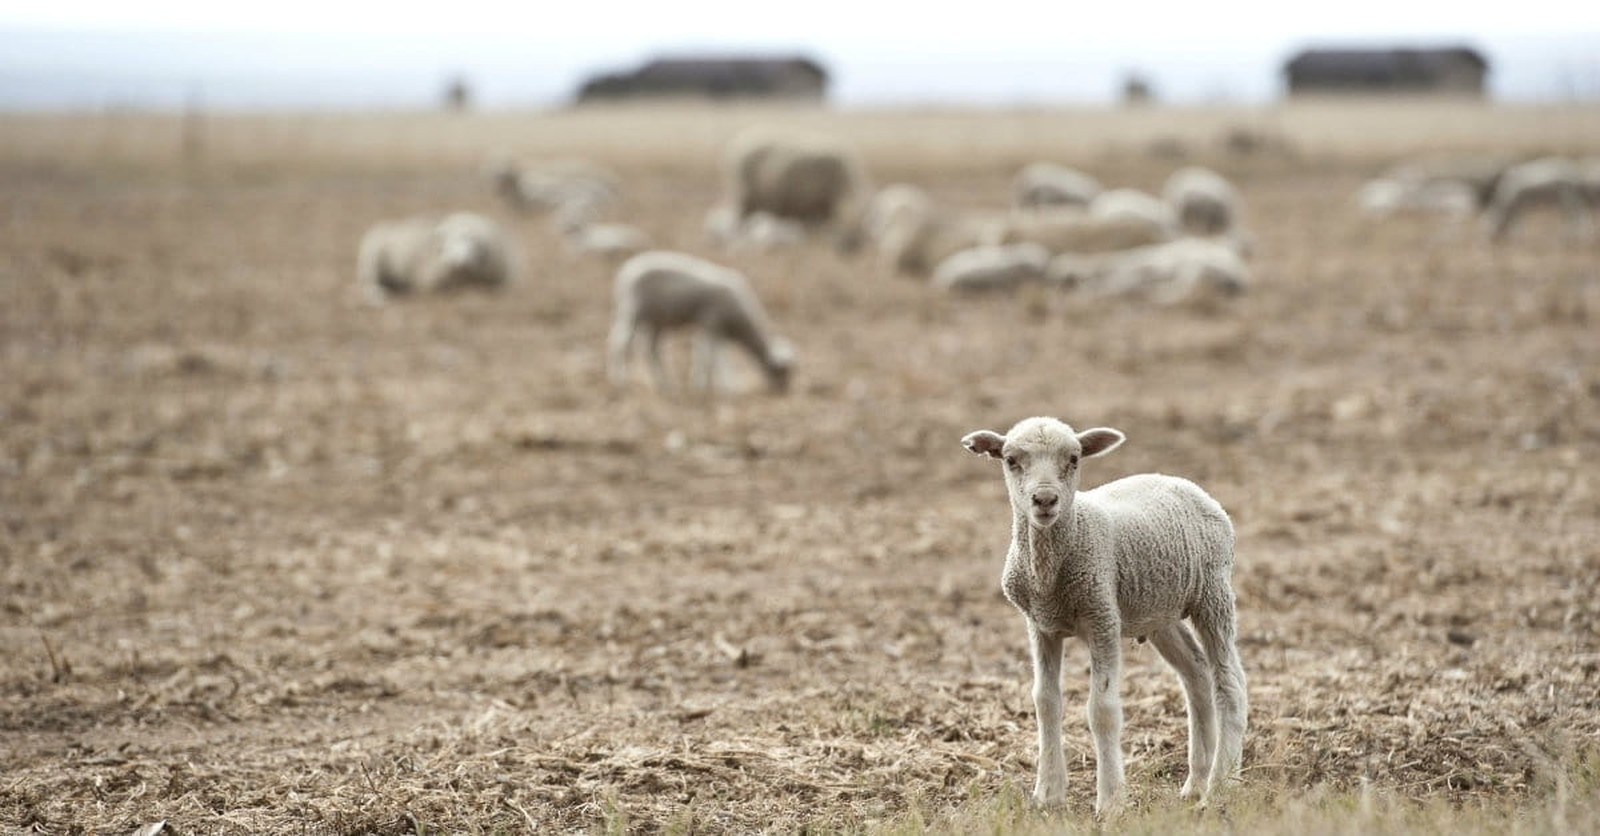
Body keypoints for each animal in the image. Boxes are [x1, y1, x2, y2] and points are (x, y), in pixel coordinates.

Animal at [356, 212, 519, 301]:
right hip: (372, 259)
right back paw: (379, 296)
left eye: (468, 239)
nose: (455, 261)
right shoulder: (432, 281)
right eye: (446, 242)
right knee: (369, 284)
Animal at [607, 251, 795, 395]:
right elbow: (713, 358)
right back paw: (620, 380)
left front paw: (705, 384)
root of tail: (625, 271)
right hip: (634, 311)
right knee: (621, 344)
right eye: (783, 374)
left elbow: (707, 356)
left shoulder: (714, 330)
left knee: (651, 351)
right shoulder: (711, 322)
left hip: (657, 321)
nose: (784, 392)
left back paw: (666, 385)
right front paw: (725, 387)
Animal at [723, 127, 868, 251]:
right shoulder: (812, 202)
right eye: (849, 223)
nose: (849, 249)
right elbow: (813, 229)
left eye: (861, 226)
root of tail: (741, 143)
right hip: (745, 196)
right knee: (738, 226)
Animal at [960, 416, 1246, 815]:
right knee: (1196, 674)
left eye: (1074, 458)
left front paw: (1110, 801)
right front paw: (1047, 794)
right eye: (1011, 460)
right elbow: (1045, 702)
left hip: (1213, 592)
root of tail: (1189, 485)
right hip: (1158, 611)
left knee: (1229, 682)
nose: (1045, 500)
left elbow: (1103, 710)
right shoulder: (1041, 626)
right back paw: (1195, 782)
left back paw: (1220, 787)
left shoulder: (1102, 618)